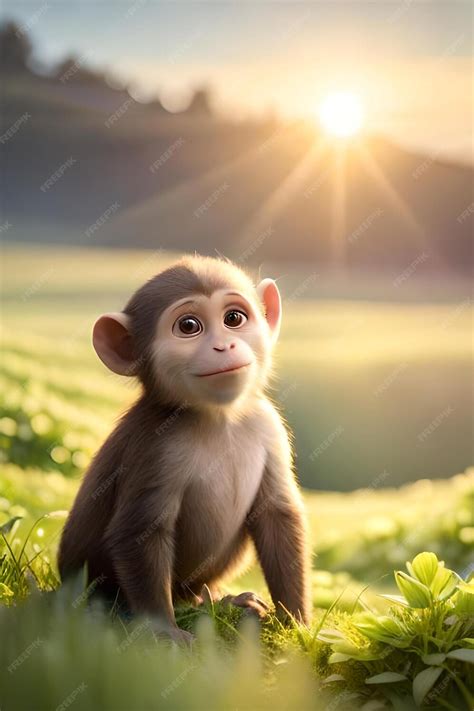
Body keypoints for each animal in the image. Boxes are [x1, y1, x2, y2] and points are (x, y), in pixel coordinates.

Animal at [58, 255, 311, 644]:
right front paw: (164, 630)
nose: (224, 346)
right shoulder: (155, 446)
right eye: (189, 326)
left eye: (234, 318)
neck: (219, 419)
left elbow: (276, 514)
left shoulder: (269, 426)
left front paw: (296, 622)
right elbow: (139, 531)